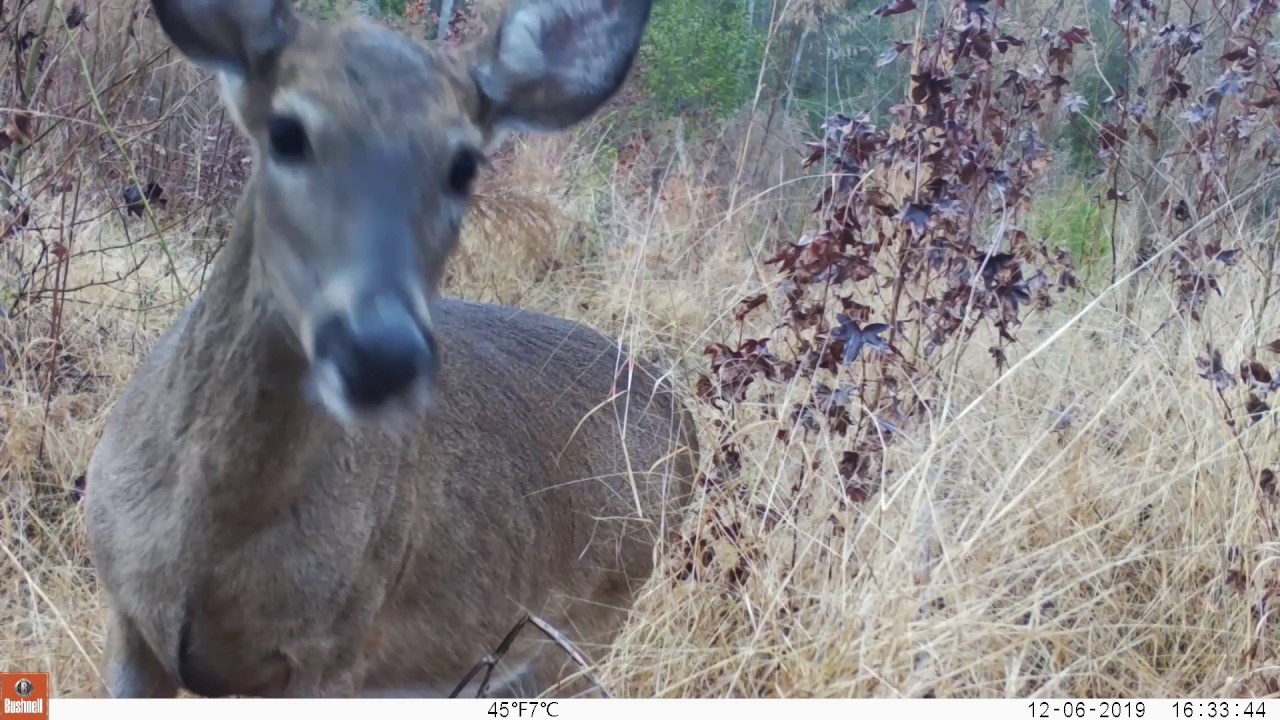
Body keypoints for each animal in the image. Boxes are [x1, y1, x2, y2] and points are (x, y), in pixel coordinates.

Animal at [84, 0, 699, 699]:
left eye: (464, 164)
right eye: (287, 132)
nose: (380, 352)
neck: (205, 549)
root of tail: (682, 414)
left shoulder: (337, 651)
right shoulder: (129, 620)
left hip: (585, 630)